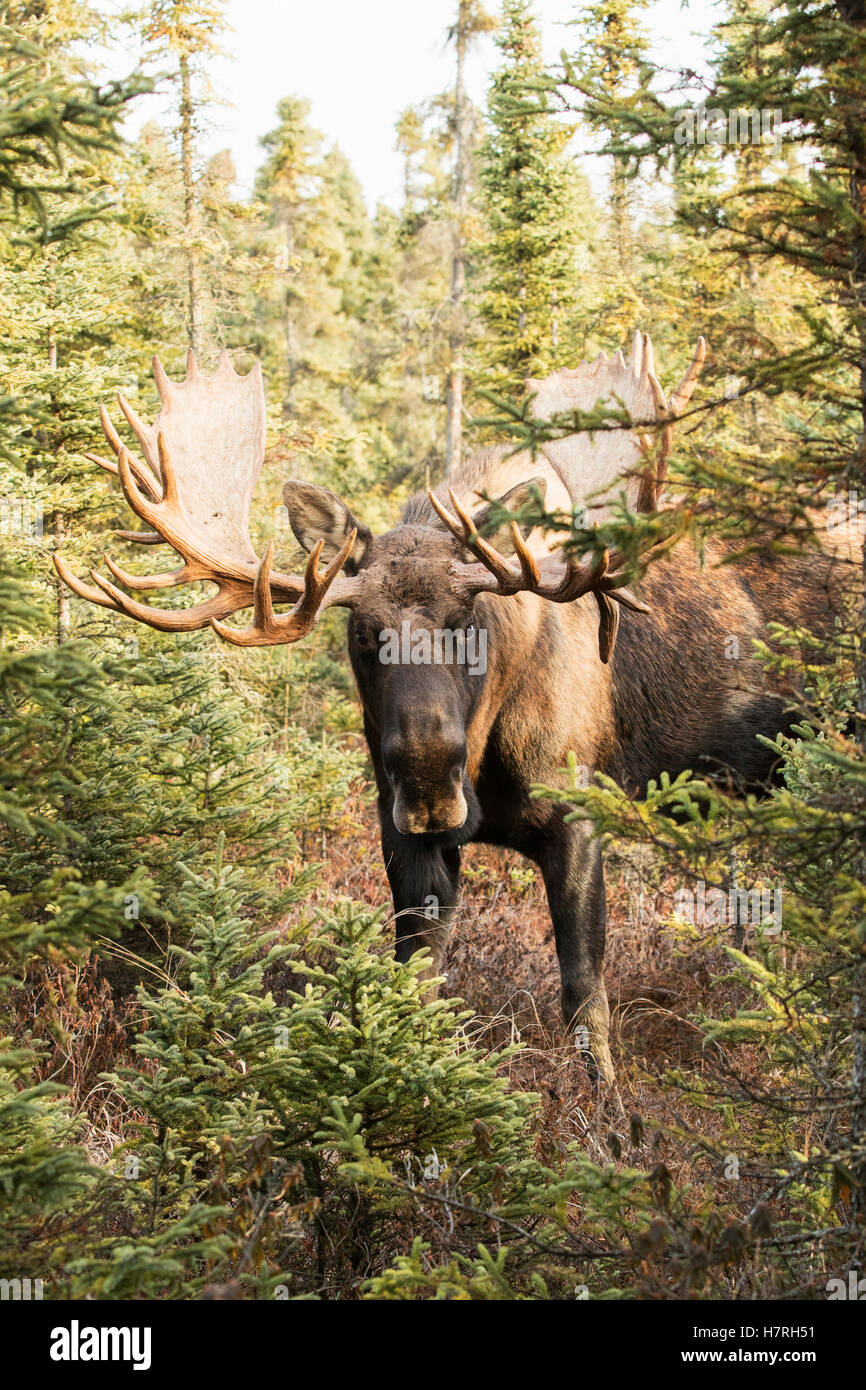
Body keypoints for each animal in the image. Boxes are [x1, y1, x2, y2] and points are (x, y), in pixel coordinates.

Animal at [55, 334, 856, 1091]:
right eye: (363, 632)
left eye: (466, 621)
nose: (427, 779)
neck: (486, 753)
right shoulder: (405, 841)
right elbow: (413, 990)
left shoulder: (580, 818)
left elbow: (586, 998)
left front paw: (607, 1114)